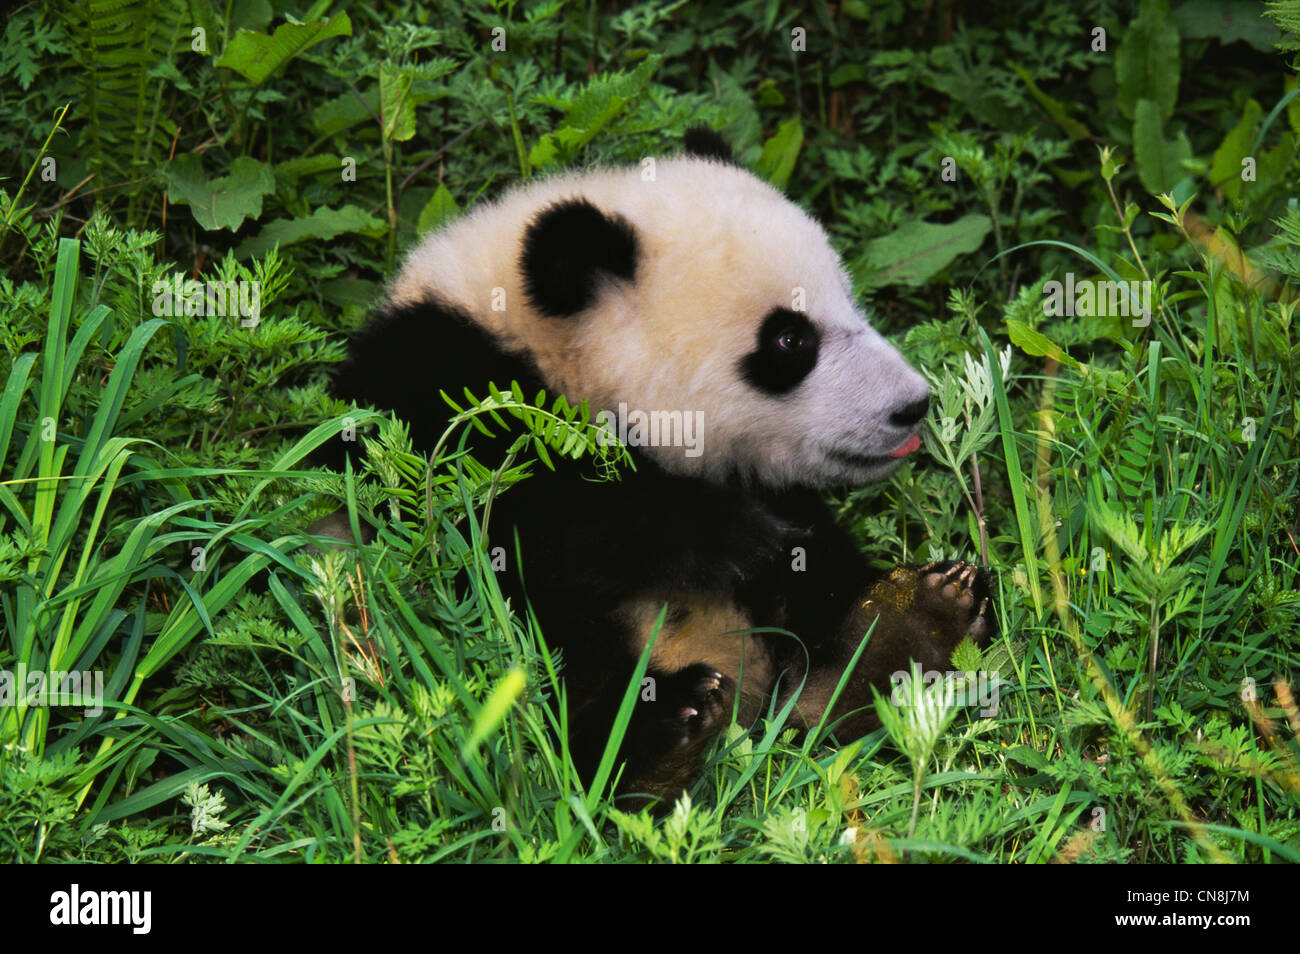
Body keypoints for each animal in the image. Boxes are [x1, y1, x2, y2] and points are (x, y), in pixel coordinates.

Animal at [330, 127, 995, 805]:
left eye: (852, 302)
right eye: (790, 339)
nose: (912, 405)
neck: (549, 355)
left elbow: (811, 549)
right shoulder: (433, 392)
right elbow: (498, 518)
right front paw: (731, 534)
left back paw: (903, 634)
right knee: (548, 665)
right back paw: (661, 734)